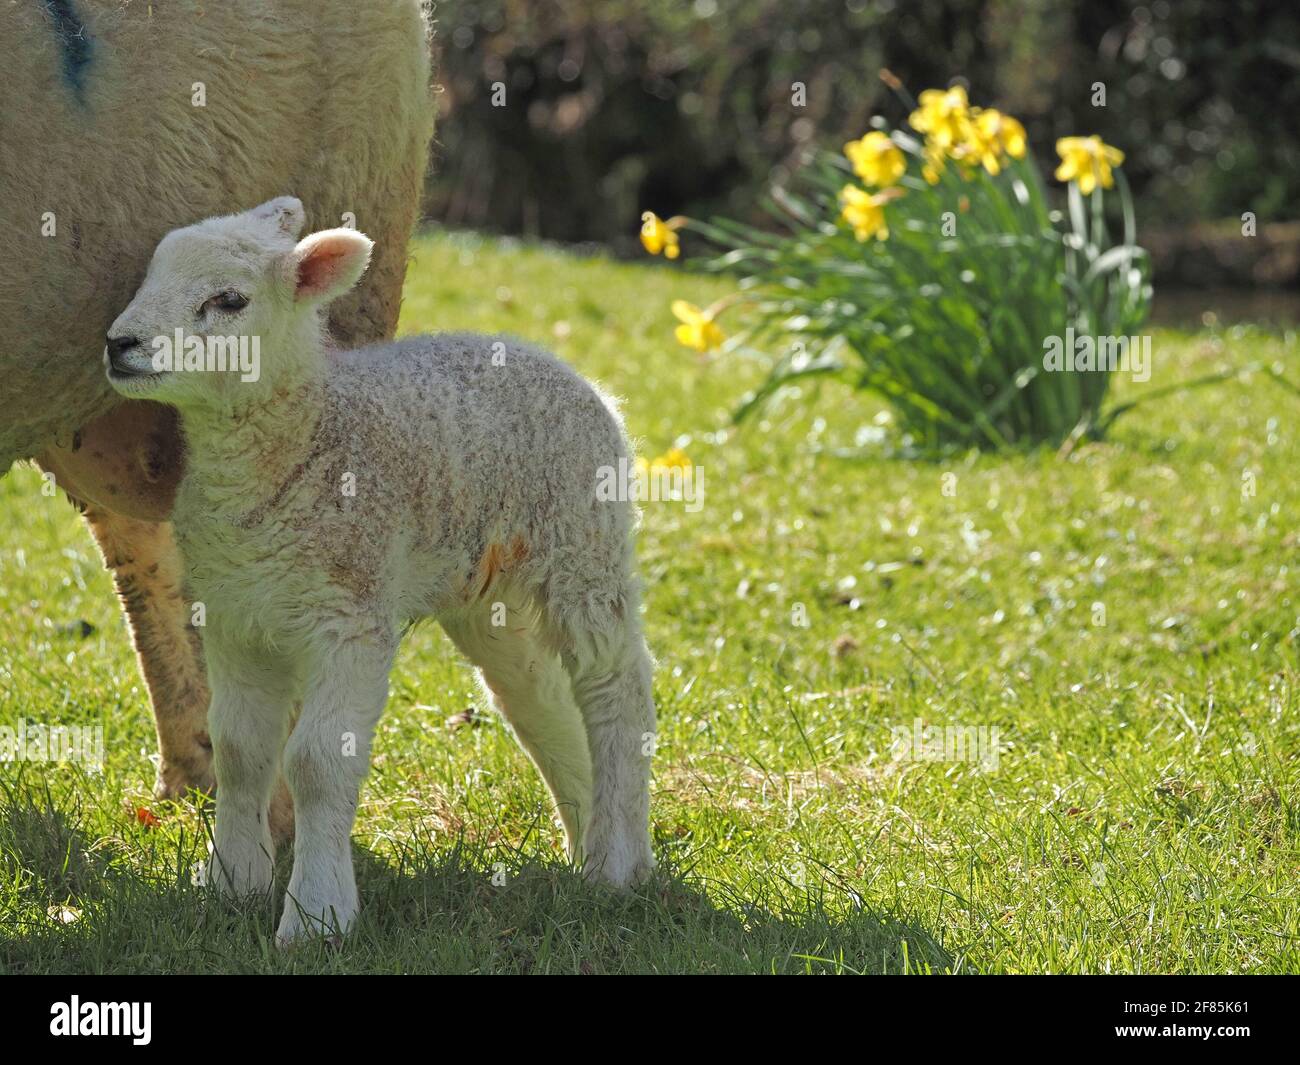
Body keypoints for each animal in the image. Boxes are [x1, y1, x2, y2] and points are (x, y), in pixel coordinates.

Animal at [104, 198, 657, 942]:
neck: (302, 441)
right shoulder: (236, 613)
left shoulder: (351, 612)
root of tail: (569, 369)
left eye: (229, 300)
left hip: (583, 545)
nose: (120, 344)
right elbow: (241, 750)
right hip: (484, 590)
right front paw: (233, 885)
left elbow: (315, 761)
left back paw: (616, 862)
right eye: (150, 272)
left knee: (615, 688)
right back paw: (586, 841)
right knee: (534, 694)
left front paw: (317, 915)